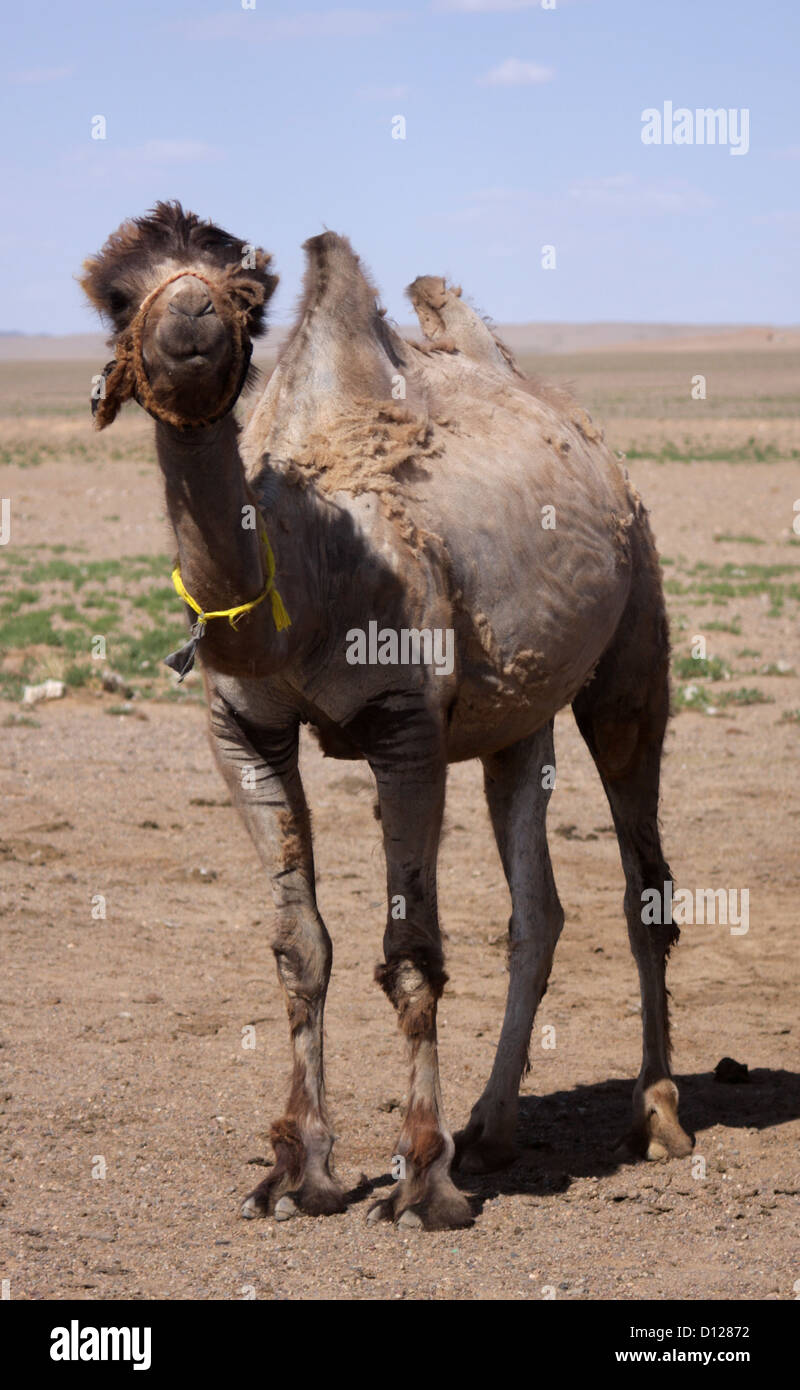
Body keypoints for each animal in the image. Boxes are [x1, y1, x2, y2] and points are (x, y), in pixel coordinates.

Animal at [80, 202, 693, 1231]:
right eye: (120, 295)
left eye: (245, 293)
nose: (191, 320)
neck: (305, 577)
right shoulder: (241, 731)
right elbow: (300, 946)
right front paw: (299, 1171)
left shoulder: (406, 725)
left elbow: (411, 953)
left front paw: (421, 1183)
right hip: (514, 720)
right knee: (538, 907)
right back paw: (491, 1126)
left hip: (634, 641)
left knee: (642, 876)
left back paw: (654, 1115)